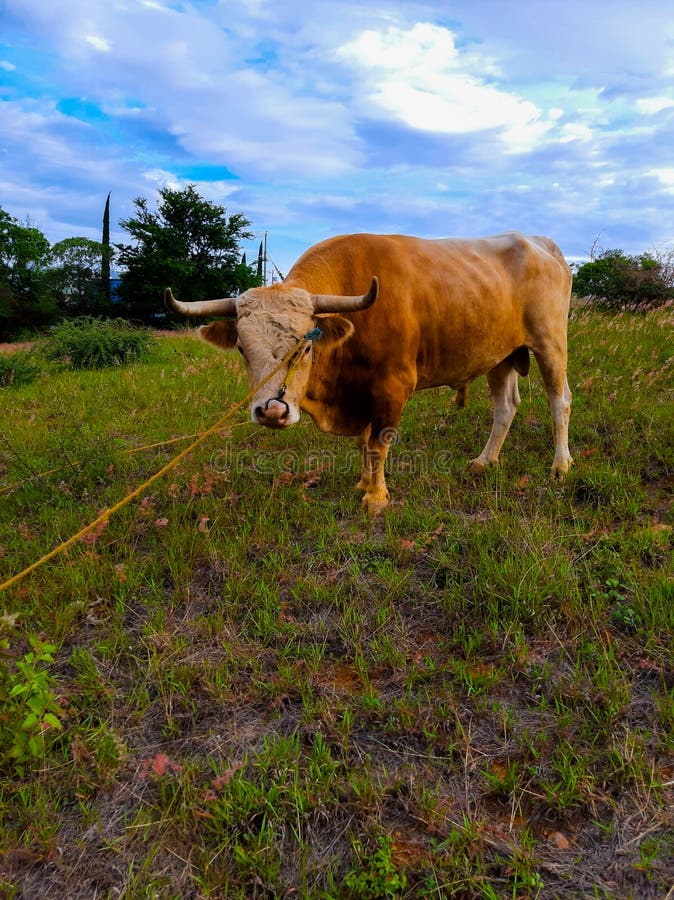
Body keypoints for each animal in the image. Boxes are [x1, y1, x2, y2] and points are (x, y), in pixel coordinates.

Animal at [165, 232, 573, 514]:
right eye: (241, 349)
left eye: (306, 346)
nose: (272, 412)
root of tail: (538, 242)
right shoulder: (360, 393)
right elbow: (363, 444)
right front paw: (363, 485)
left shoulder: (392, 388)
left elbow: (378, 443)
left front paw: (376, 498)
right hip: (500, 356)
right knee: (506, 407)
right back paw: (485, 461)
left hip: (550, 342)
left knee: (560, 400)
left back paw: (560, 464)